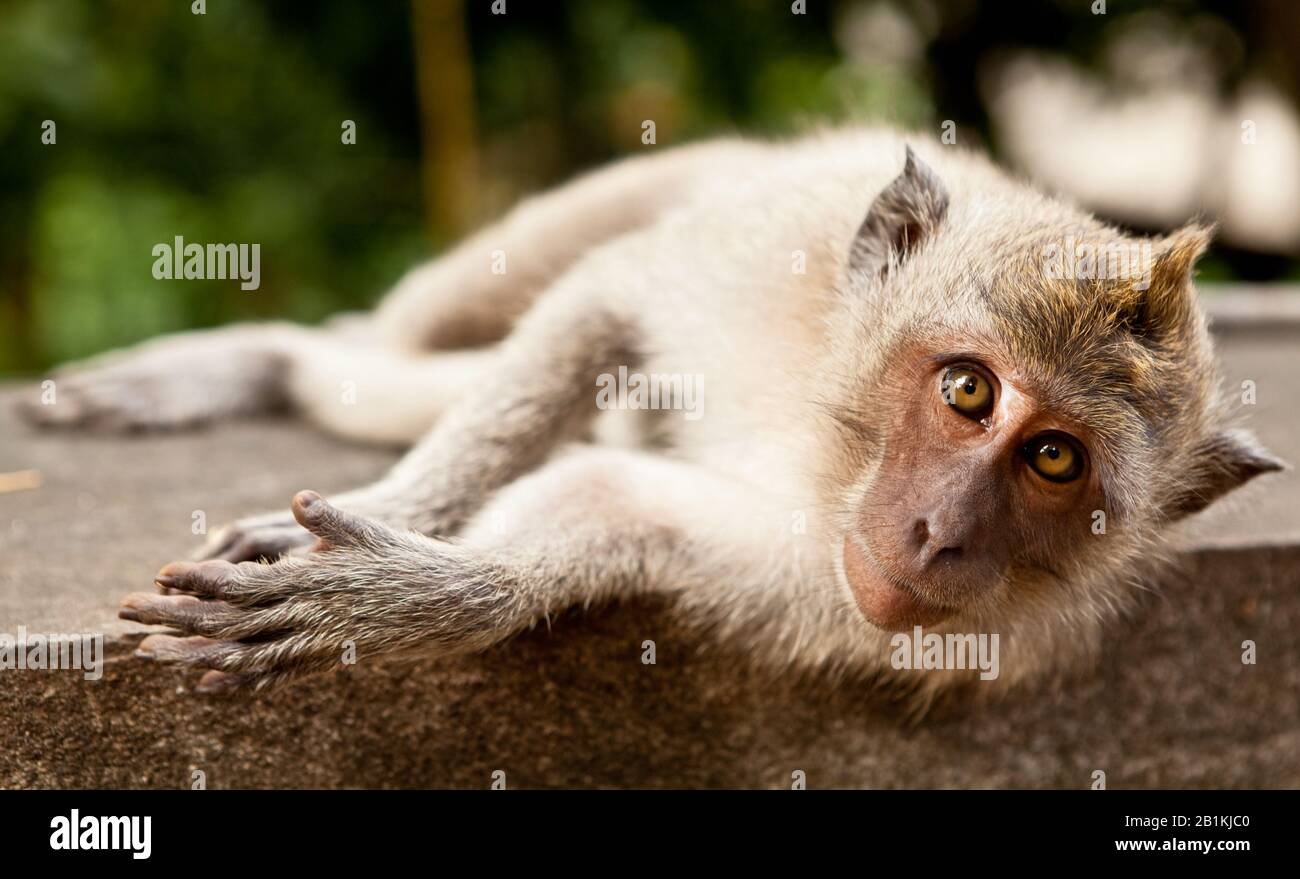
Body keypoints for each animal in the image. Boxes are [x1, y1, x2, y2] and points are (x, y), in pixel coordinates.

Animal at [19, 127, 1283, 700]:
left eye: (1056, 460)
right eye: (968, 390)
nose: (938, 538)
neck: (819, 428)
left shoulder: (852, 585)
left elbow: (609, 497)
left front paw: (409, 596)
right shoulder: (742, 263)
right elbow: (603, 300)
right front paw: (403, 508)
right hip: (674, 176)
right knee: (417, 334)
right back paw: (262, 361)